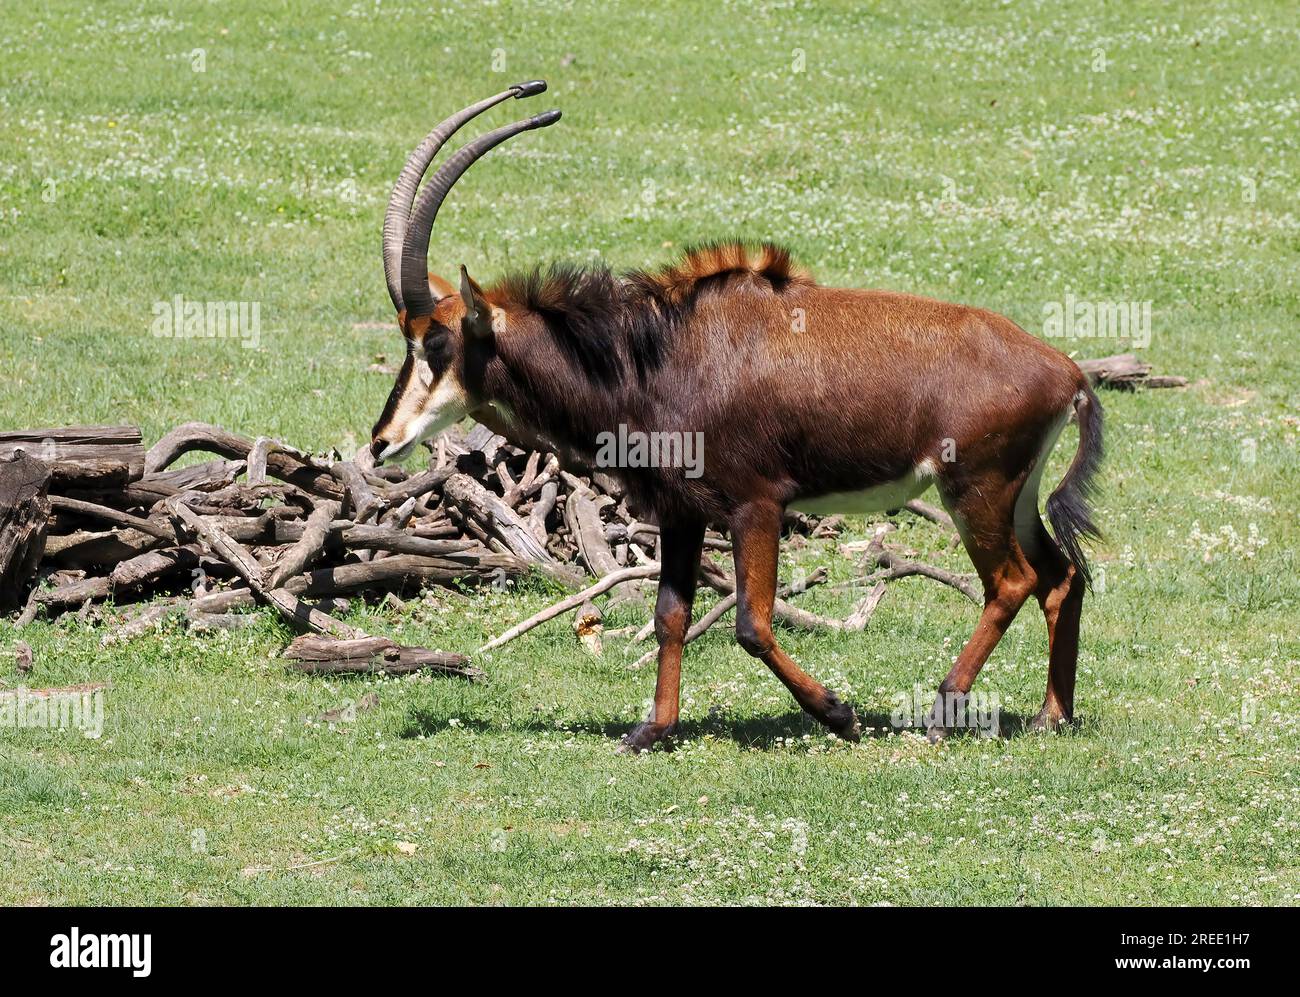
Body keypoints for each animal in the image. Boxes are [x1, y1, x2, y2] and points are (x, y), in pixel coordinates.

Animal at [371, 81, 1104, 753]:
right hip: (1013, 495)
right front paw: (652, 729)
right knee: (1062, 575)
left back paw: (944, 711)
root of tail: (1067, 374)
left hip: (975, 490)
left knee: (1013, 581)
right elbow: (670, 614)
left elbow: (752, 624)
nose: (380, 441)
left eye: (436, 342)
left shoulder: (756, 504)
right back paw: (1052, 714)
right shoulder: (681, 511)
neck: (652, 356)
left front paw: (838, 714)